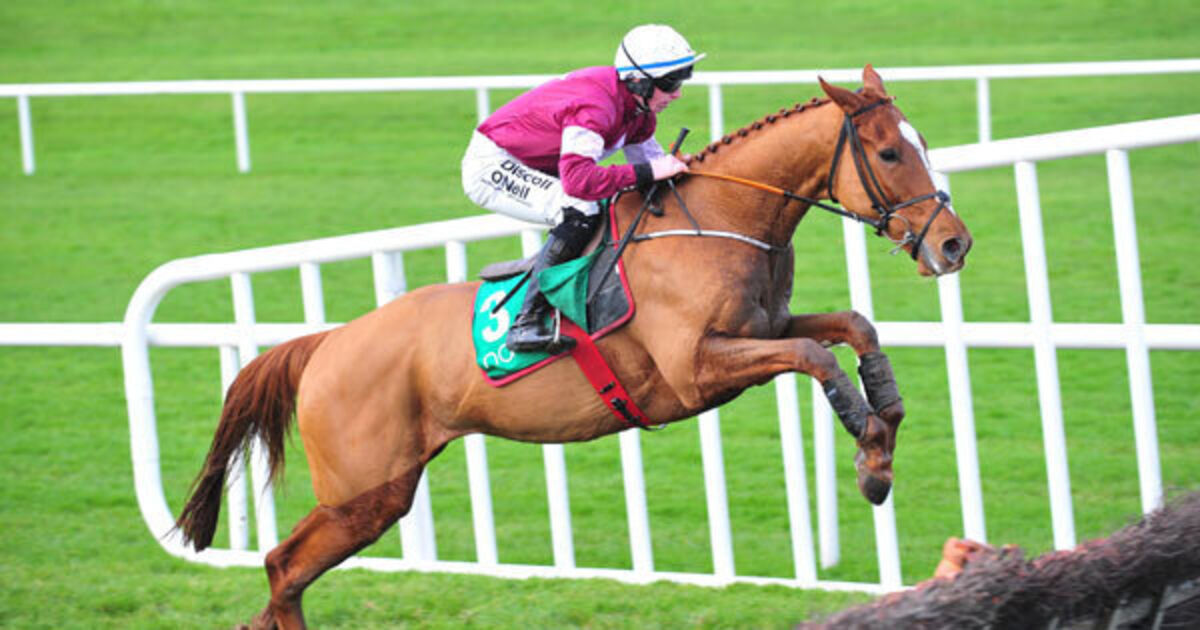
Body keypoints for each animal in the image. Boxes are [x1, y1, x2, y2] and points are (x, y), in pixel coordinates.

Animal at [175, 64, 972, 629]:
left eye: (924, 145)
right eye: (890, 152)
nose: (953, 243)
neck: (721, 217)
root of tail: (328, 343)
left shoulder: (760, 330)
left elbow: (852, 327)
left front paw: (882, 435)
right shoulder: (695, 370)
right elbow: (817, 356)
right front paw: (868, 444)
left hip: (372, 490)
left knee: (284, 575)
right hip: (364, 491)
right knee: (283, 565)